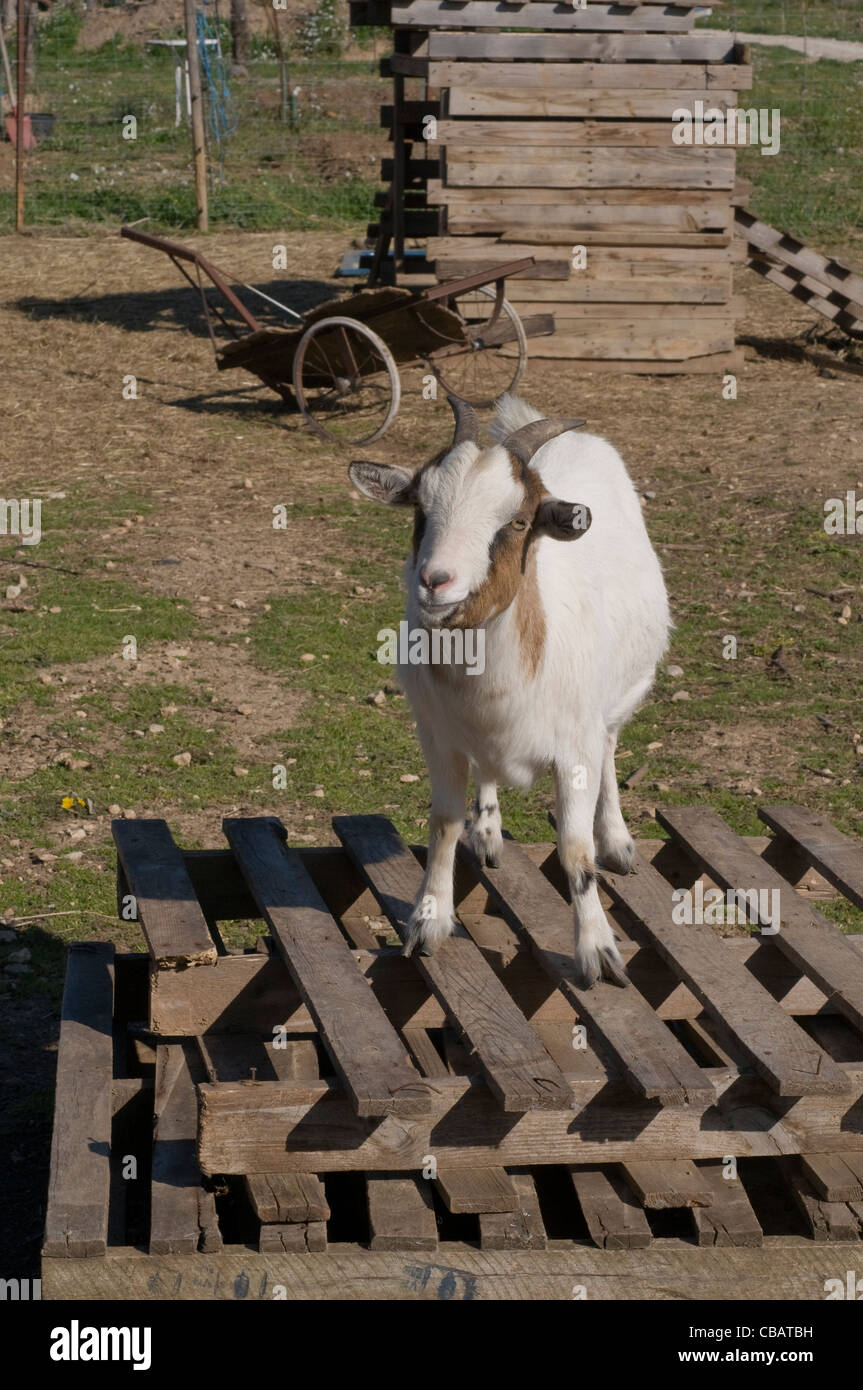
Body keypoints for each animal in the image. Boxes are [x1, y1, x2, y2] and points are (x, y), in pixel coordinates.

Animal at [348, 394, 670, 988]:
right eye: (420, 510)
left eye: (519, 521)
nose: (436, 581)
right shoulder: (439, 735)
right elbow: (444, 823)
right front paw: (428, 922)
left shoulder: (575, 747)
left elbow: (575, 850)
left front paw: (597, 952)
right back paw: (489, 829)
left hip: (619, 696)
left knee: (612, 745)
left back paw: (617, 841)